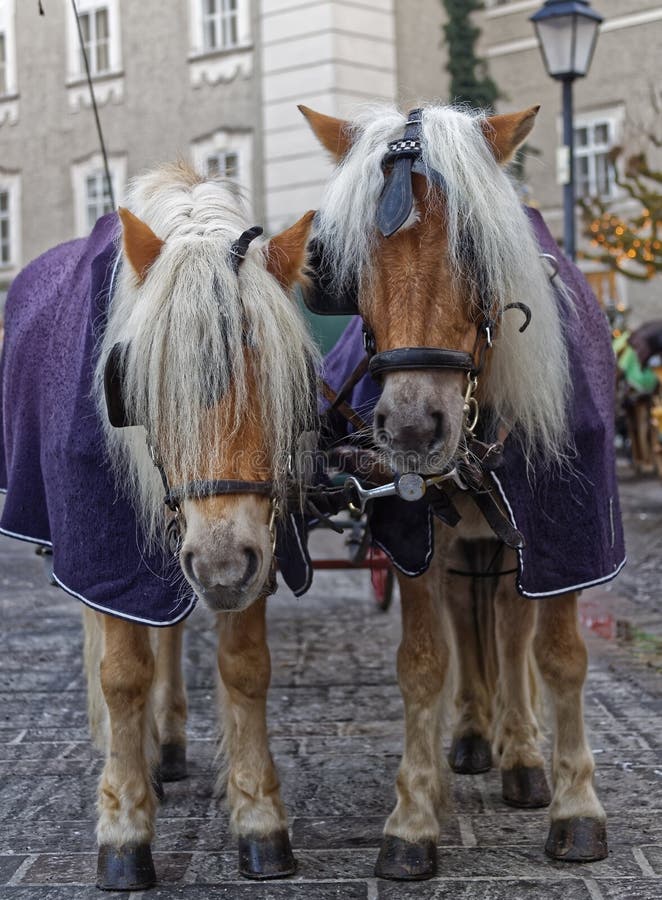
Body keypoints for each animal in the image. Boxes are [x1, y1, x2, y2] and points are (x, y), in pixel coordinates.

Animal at [0, 161, 318, 890]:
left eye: (282, 381)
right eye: (146, 385)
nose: (221, 564)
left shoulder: (256, 539)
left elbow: (245, 666)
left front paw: (259, 817)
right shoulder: (105, 556)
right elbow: (122, 674)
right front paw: (123, 825)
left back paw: (168, 743)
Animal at [298, 102, 625, 879]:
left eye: (477, 250)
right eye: (349, 261)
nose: (414, 427)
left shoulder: (562, 538)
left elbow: (558, 657)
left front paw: (576, 806)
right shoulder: (415, 534)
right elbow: (424, 663)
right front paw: (414, 817)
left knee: (509, 629)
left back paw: (522, 752)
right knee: (472, 623)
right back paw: (478, 734)